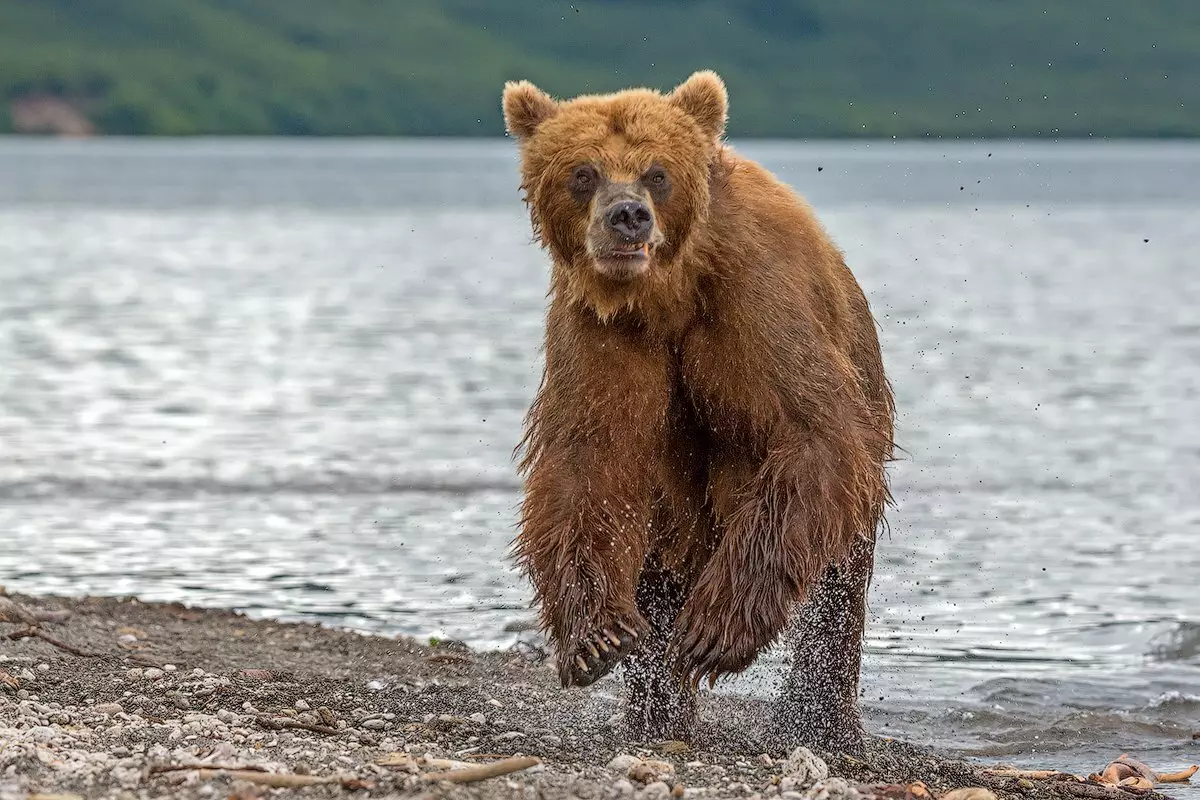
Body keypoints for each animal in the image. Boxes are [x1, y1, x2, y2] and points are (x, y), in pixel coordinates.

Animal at [501, 68, 897, 753]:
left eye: (656, 172)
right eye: (584, 172)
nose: (628, 216)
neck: (669, 291)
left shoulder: (757, 299)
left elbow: (809, 428)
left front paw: (715, 633)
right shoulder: (602, 330)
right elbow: (590, 458)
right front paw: (596, 637)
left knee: (836, 589)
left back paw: (817, 719)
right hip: (673, 513)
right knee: (657, 568)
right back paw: (656, 711)